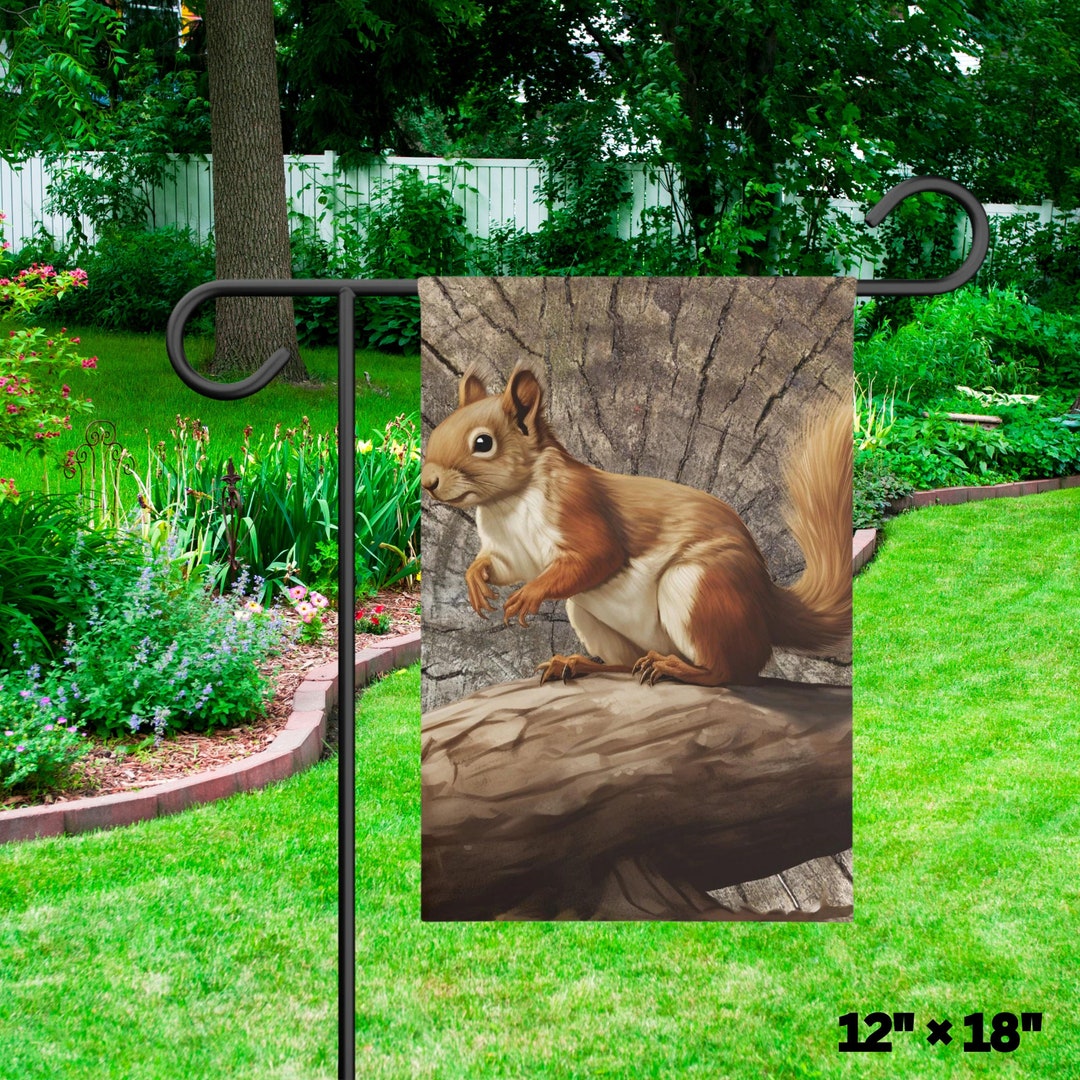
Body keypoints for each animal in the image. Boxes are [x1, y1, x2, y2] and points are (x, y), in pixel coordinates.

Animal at [421, 361, 852, 687]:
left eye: (483, 443)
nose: (428, 482)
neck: (508, 504)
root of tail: (765, 601)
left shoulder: (579, 506)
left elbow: (598, 555)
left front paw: (528, 595)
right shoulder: (510, 550)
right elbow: (503, 566)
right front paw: (476, 581)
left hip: (700, 588)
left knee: (730, 671)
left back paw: (673, 667)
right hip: (591, 615)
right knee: (627, 663)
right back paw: (575, 663)